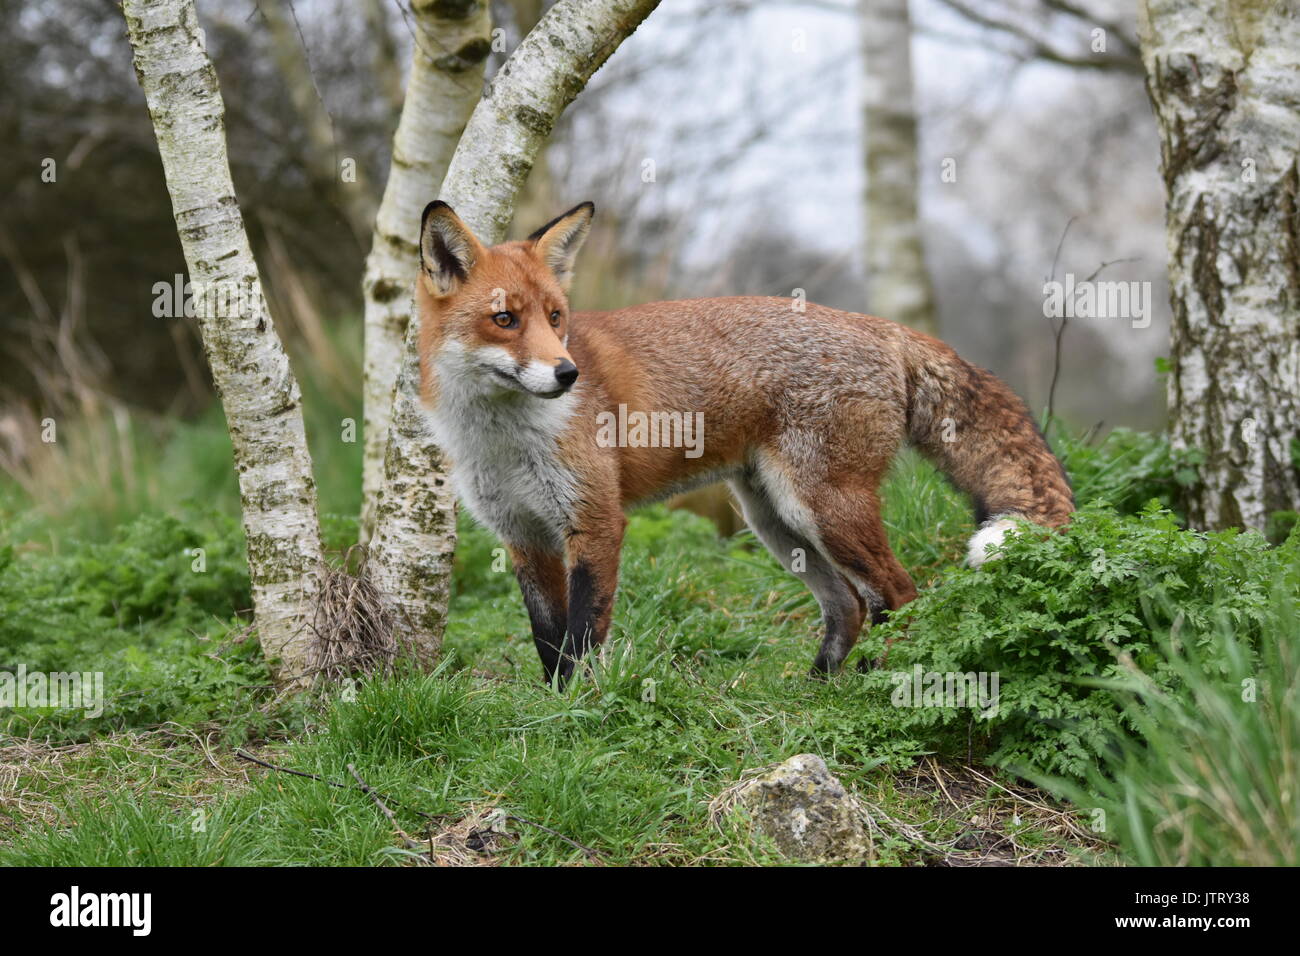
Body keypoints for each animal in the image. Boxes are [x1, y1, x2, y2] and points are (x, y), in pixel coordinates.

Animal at [415, 199, 1075, 685]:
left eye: (556, 318)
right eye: (505, 320)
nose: (567, 373)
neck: (501, 440)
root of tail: (882, 327)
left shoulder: (596, 523)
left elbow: (580, 640)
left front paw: (579, 717)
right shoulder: (523, 536)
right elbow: (547, 642)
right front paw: (552, 710)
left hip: (822, 508)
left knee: (899, 592)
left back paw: (883, 682)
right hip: (775, 521)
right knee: (850, 604)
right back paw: (820, 688)